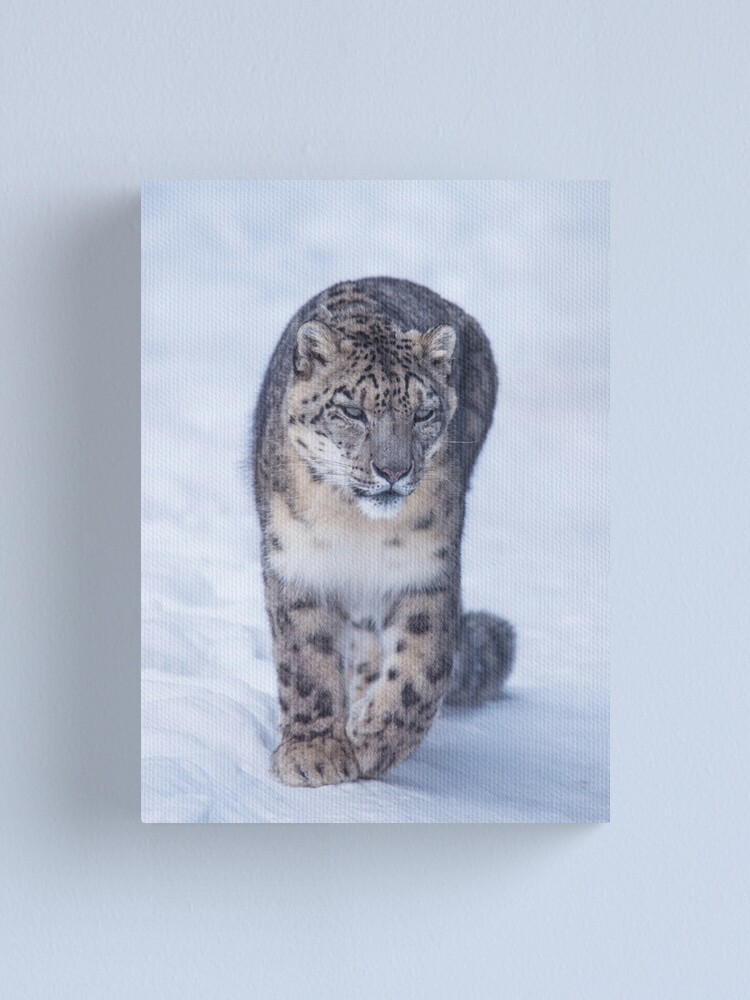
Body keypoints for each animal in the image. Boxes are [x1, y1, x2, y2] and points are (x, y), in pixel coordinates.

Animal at [251, 277, 515, 786]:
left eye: (423, 413)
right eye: (353, 411)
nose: (393, 470)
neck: (356, 527)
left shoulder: (424, 570)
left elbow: (422, 668)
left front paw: (372, 740)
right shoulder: (298, 564)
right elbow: (306, 659)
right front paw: (314, 753)